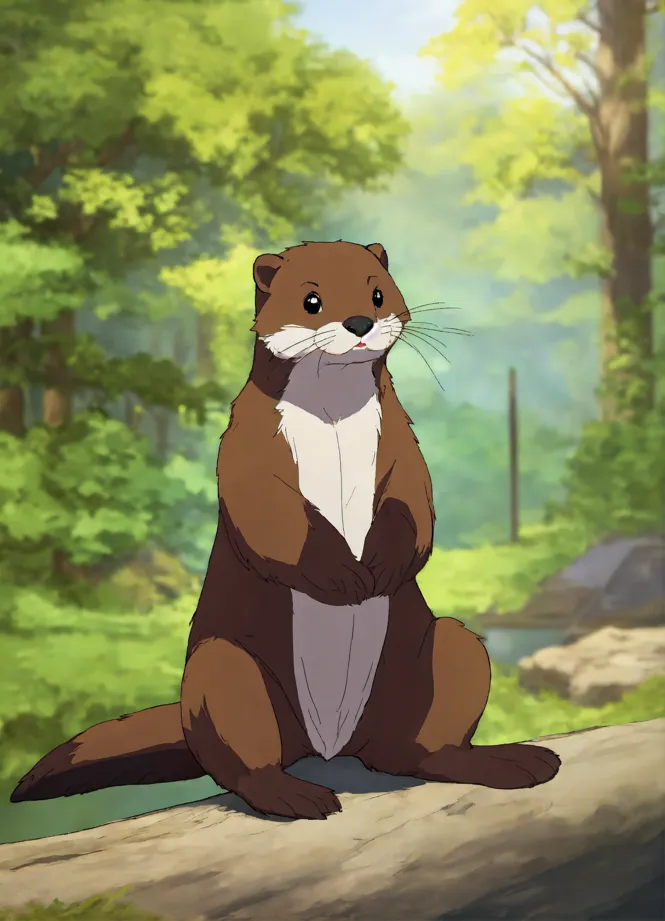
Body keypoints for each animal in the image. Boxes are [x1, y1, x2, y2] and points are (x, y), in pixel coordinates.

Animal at [10, 241, 560, 820]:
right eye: (311, 299)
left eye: (377, 292)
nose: (360, 321)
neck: (333, 420)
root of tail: (331, 745)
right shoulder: (247, 445)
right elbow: (274, 518)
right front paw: (346, 577)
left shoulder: (402, 445)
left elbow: (414, 507)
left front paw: (377, 568)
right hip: (223, 666)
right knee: (245, 760)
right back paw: (295, 795)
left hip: (442, 652)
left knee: (422, 742)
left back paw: (511, 762)